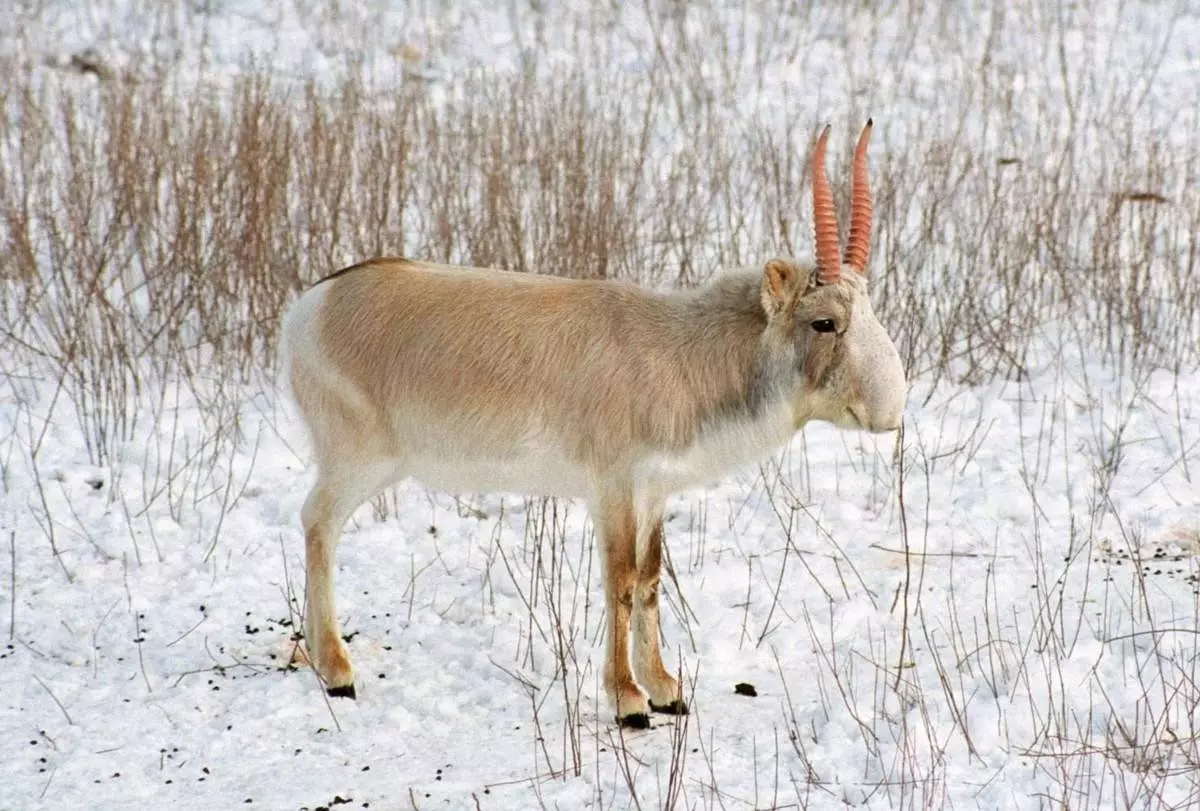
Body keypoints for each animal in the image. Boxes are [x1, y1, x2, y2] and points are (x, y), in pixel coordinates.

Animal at [278, 118, 902, 729]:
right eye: (825, 321)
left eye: (870, 310)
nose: (891, 410)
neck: (681, 351)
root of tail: (311, 307)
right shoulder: (614, 489)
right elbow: (620, 581)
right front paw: (629, 701)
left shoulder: (653, 492)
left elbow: (650, 580)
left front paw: (667, 689)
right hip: (358, 462)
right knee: (318, 523)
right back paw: (338, 672)